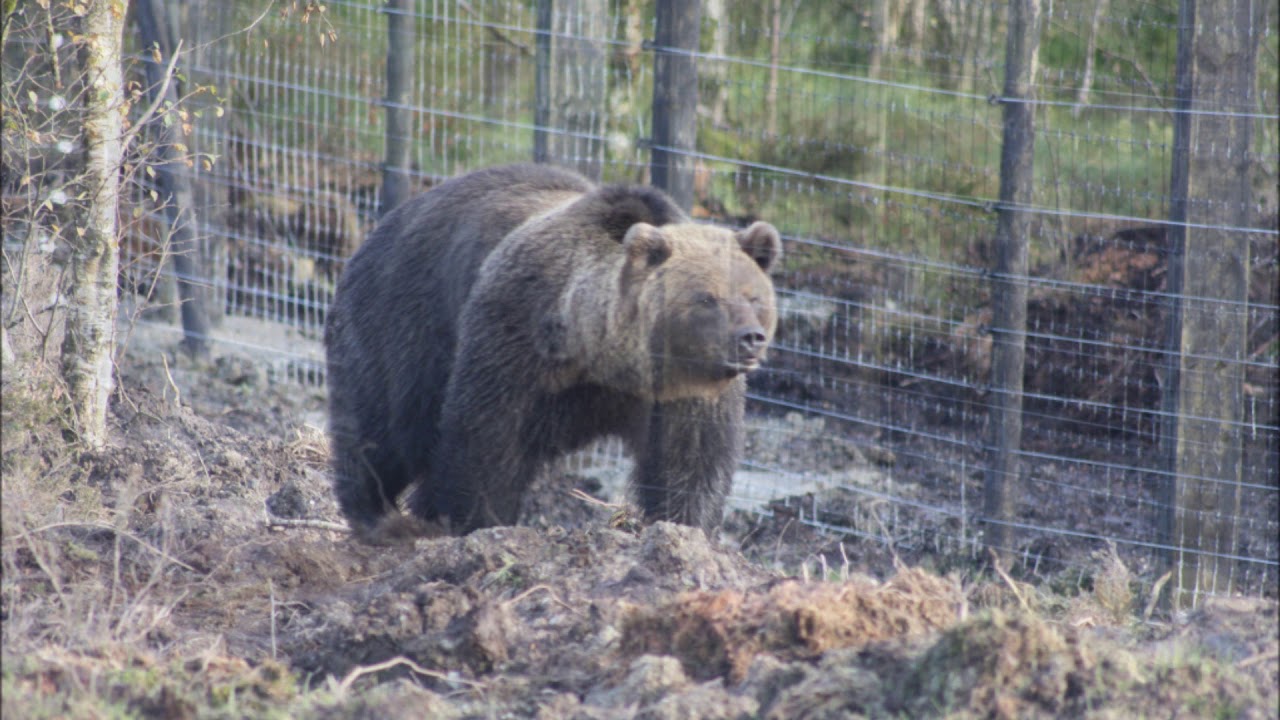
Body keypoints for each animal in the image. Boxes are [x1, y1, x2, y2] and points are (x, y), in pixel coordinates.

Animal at [325, 163, 781, 538]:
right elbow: (487, 436)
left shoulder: (682, 391)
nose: (750, 337)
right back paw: (376, 515)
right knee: (385, 425)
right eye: (707, 298)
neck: (605, 356)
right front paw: (479, 522)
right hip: (403, 320)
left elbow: (691, 459)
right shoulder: (516, 334)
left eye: (754, 296)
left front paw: (684, 528)